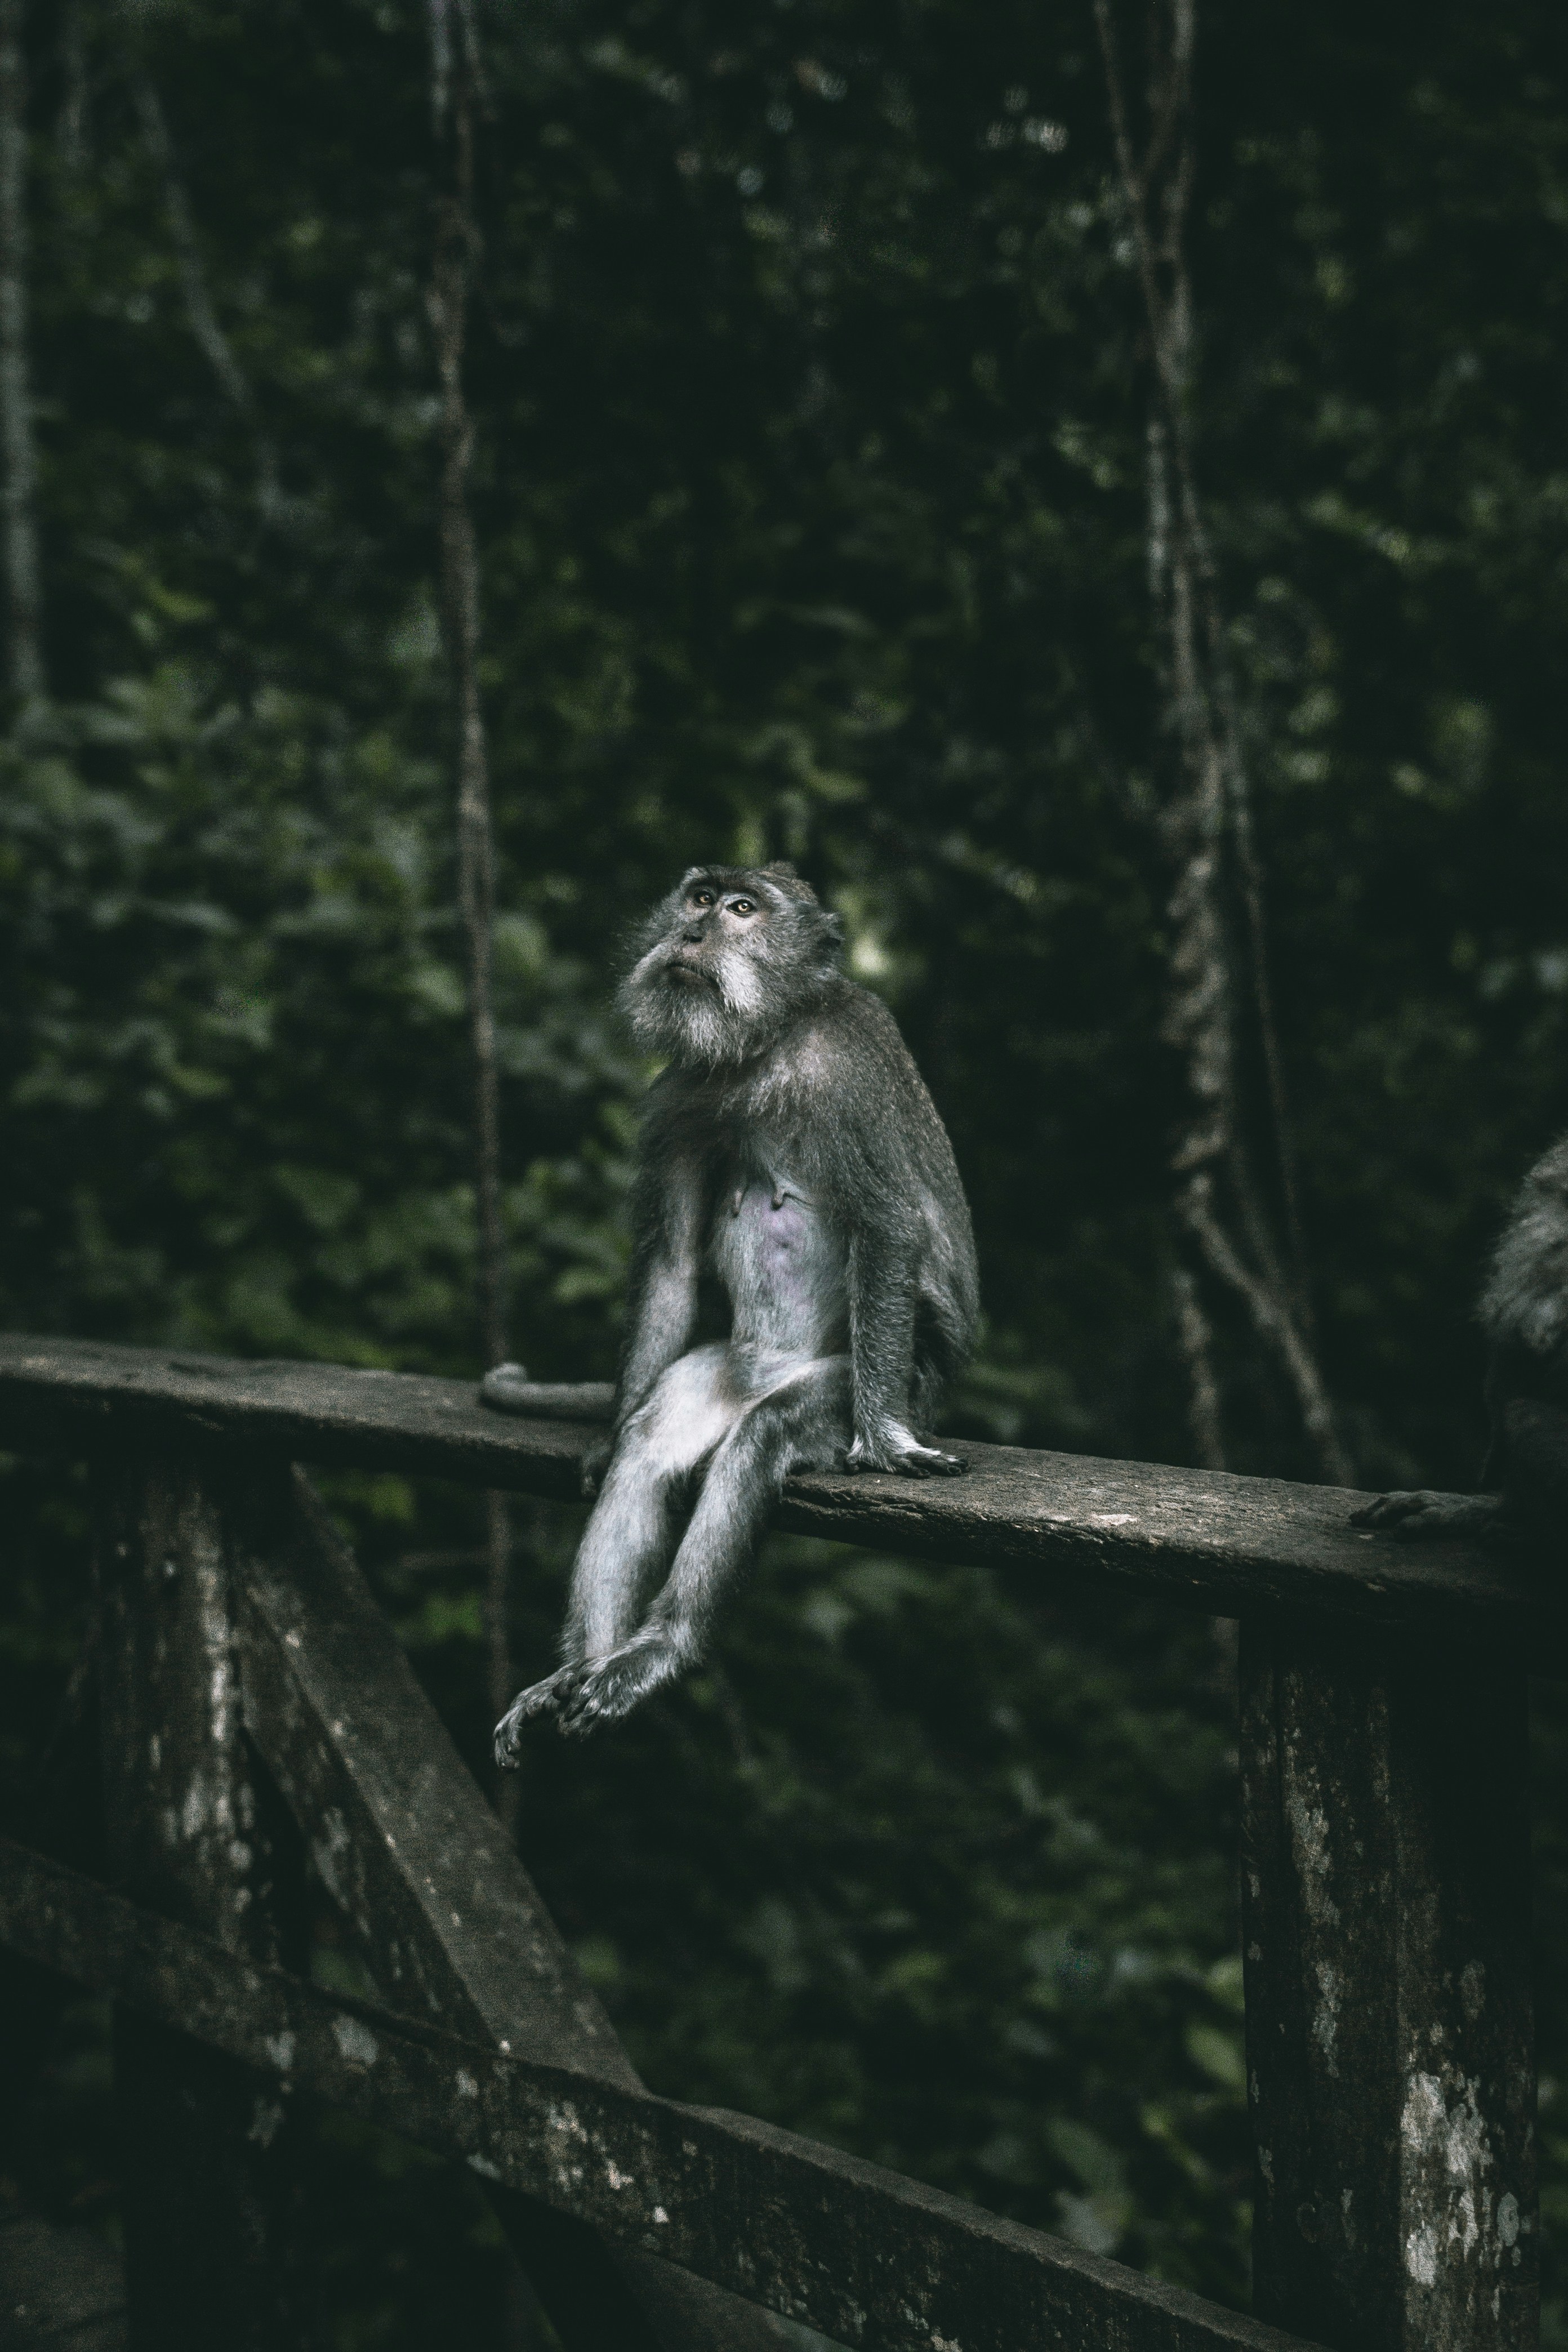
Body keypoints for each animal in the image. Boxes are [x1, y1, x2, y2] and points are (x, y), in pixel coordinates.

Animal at [487, 860, 978, 1750]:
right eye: (700, 898)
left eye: (744, 909)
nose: (693, 931)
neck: (764, 1049)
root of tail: (761, 1374)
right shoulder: (681, 1095)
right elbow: (673, 1267)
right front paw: (605, 1435)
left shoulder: (846, 1070)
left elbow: (890, 1228)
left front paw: (888, 1444)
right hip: (710, 1376)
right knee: (652, 1443)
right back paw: (586, 1663)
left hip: (861, 1385)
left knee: (764, 1437)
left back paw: (663, 1647)